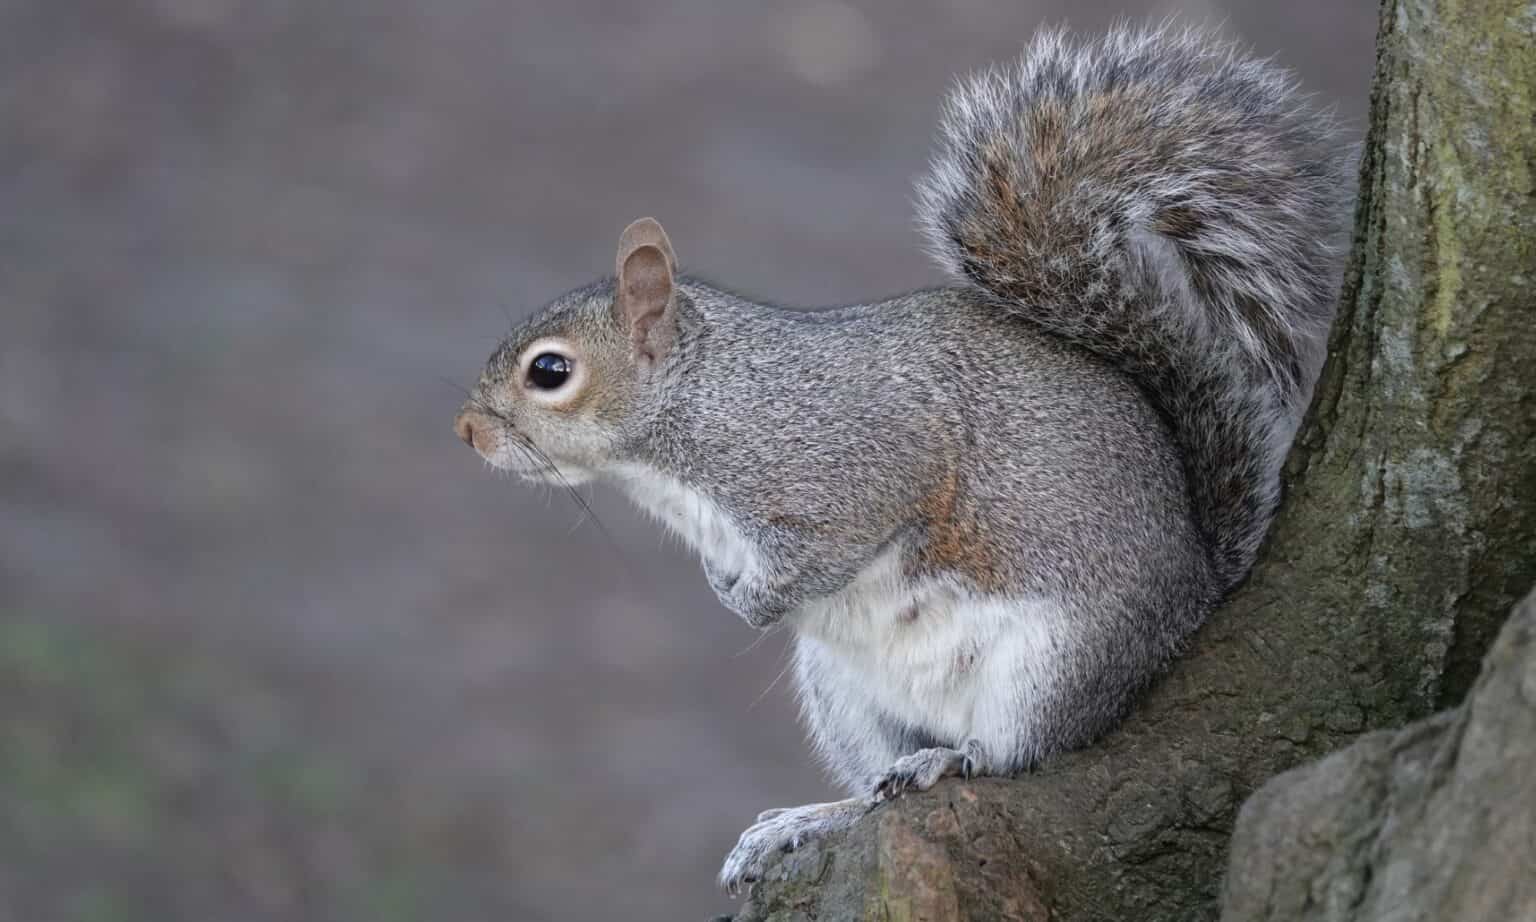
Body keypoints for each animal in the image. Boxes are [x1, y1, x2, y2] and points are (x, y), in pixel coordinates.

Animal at [453, 24, 1355, 895]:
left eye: (549, 372)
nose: (465, 430)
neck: (705, 409)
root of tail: (1194, 594)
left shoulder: (853, 469)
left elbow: (832, 549)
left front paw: (751, 603)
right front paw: (722, 584)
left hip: (1056, 660)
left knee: (1017, 755)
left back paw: (947, 758)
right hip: (846, 695)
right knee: (874, 789)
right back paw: (808, 820)